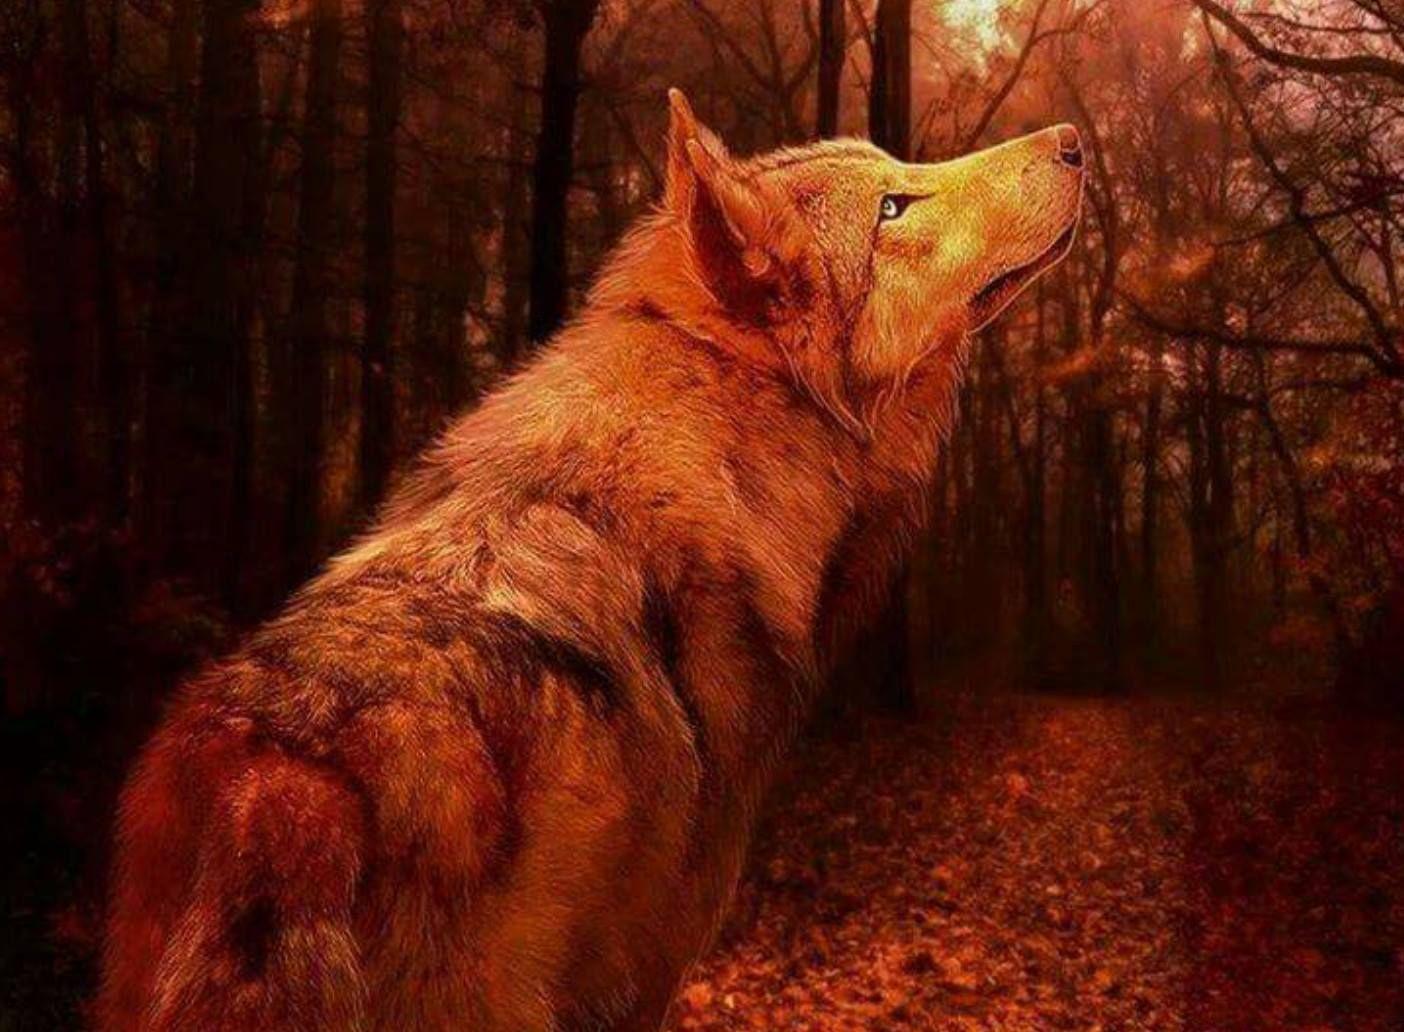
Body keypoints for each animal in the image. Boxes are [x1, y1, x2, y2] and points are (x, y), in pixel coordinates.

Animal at [99, 89, 1083, 1031]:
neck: (728, 447)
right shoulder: (644, 975)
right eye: (892, 206)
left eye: (898, 171)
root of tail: (280, 791)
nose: (1075, 139)